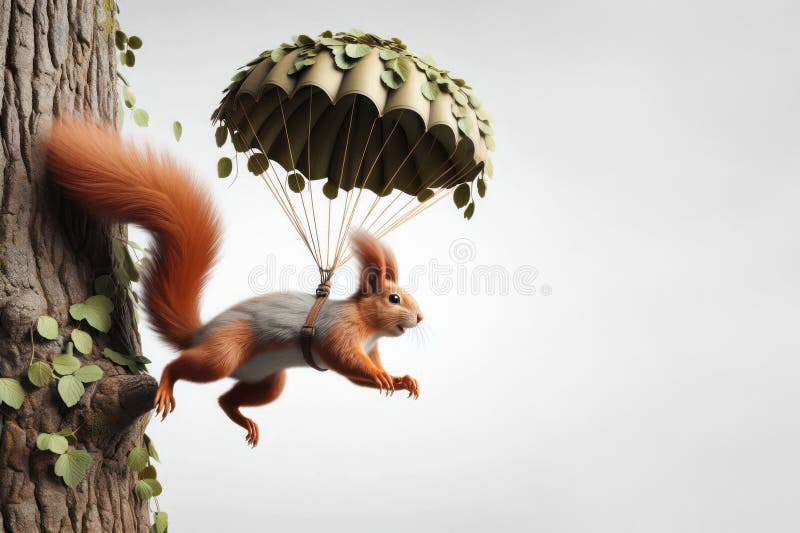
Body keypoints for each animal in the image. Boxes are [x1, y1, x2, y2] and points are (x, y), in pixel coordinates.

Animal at [45, 117, 423, 447]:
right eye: (394, 299)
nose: (420, 318)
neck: (366, 324)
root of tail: (201, 333)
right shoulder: (339, 333)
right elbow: (348, 362)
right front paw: (382, 377)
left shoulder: (369, 348)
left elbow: (358, 376)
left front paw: (400, 380)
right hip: (223, 353)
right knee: (179, 365)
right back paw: (166, 386)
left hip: (267, 381)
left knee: (225, 399)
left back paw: (242, 419)